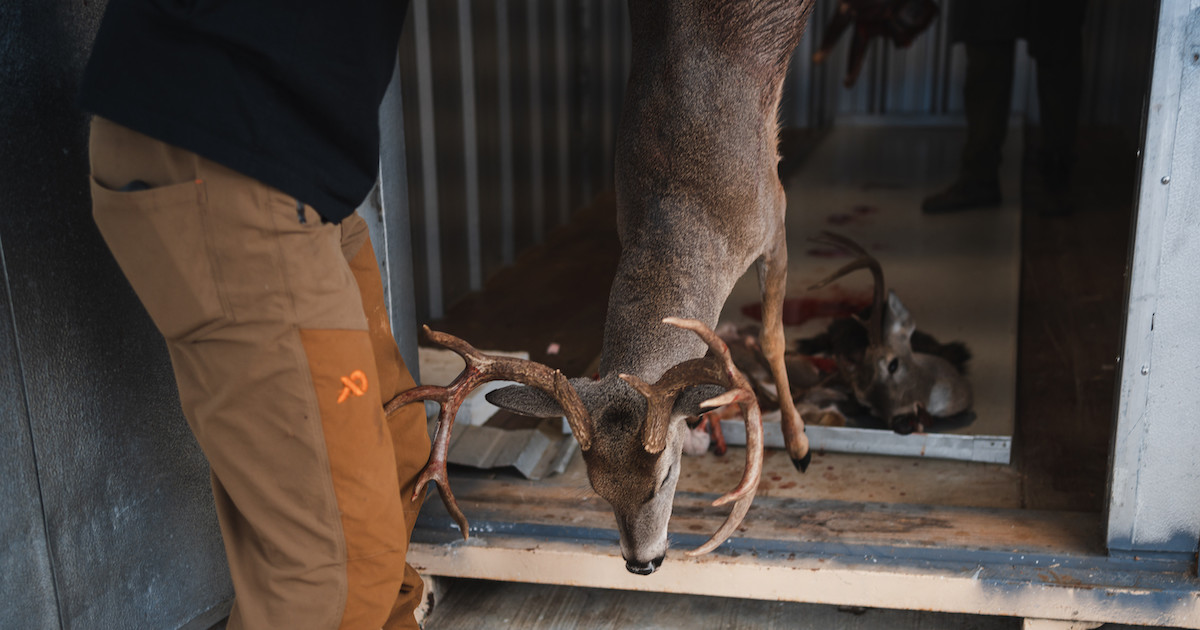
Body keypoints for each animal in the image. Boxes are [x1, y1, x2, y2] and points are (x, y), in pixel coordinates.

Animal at [387, 0, 817, 576]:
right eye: (596, 488)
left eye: (665, 475)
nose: (643, 563)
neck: (689, 209)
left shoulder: (775, 216)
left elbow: (773, 336)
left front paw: (799, 444)